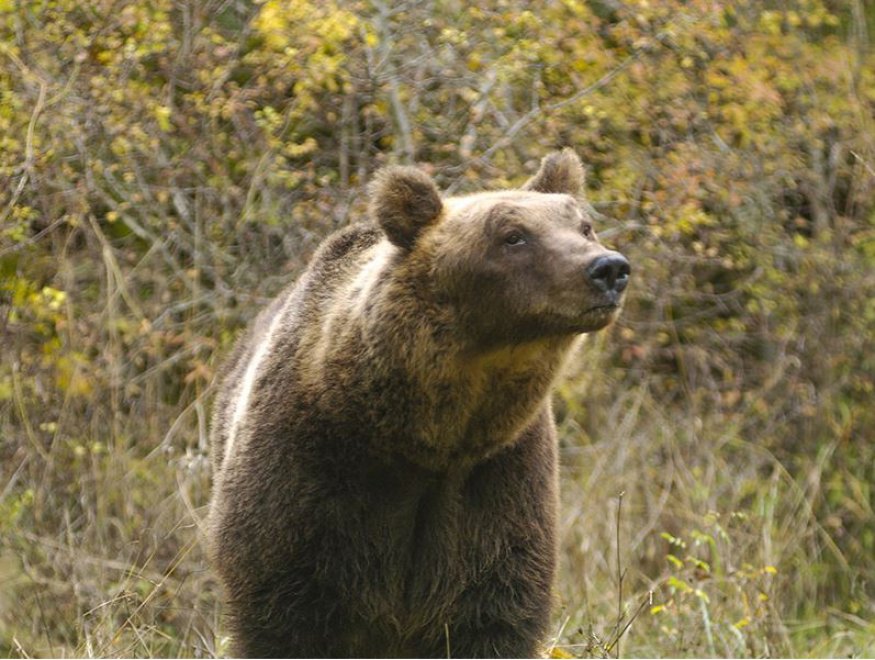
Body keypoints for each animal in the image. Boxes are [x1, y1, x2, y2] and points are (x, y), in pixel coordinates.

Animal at [207, 149, 630, 658]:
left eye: (584, 225)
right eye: (513, 235)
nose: (608, 269)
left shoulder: (498, 484)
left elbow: (492, 612)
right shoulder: (307, 473)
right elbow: (285, 611)